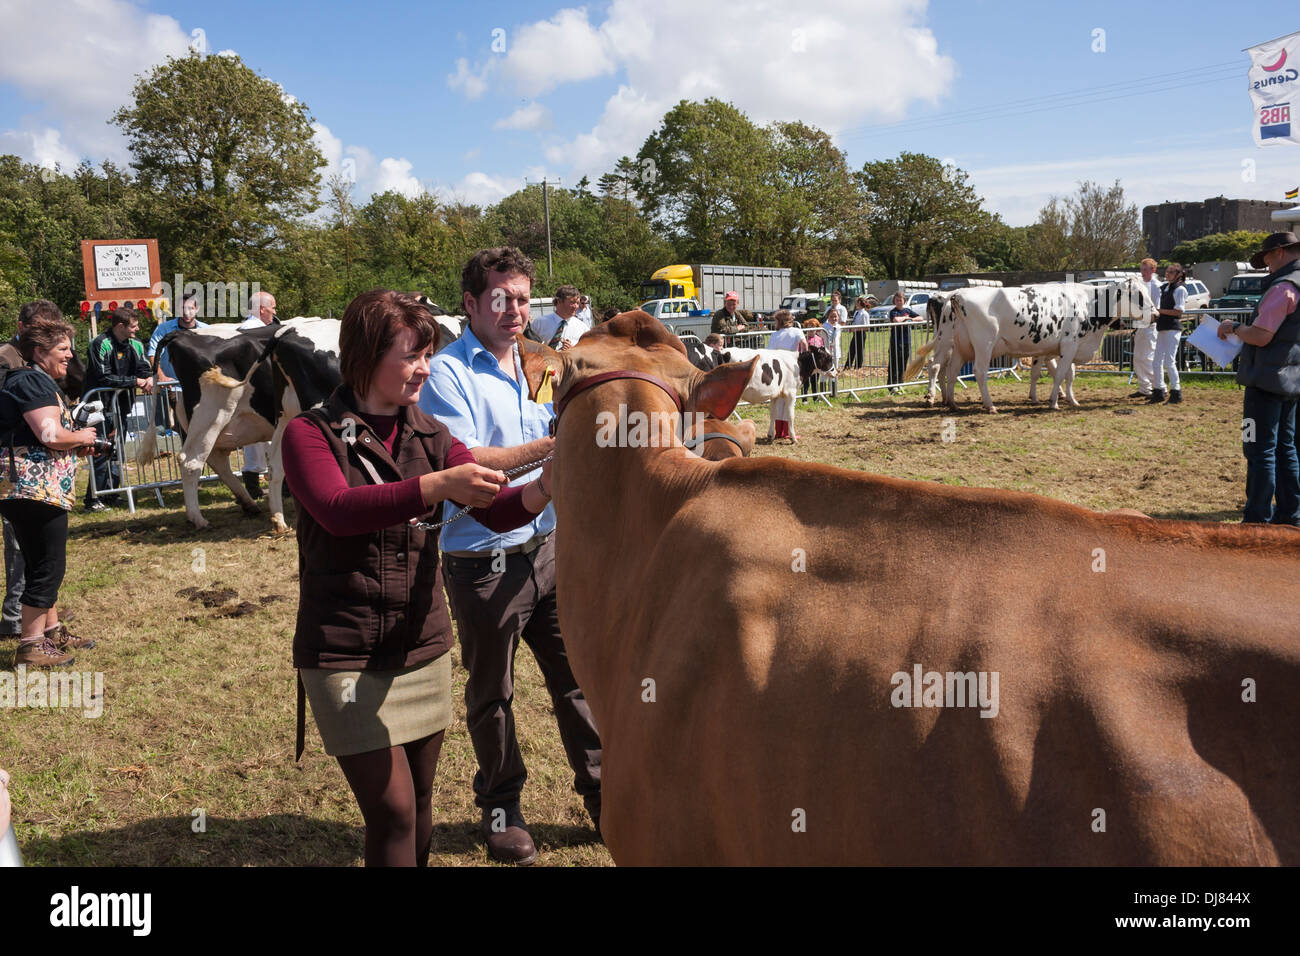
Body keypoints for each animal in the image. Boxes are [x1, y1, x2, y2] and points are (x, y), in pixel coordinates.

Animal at [907, 278, 1153, 413]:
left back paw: (951, 402)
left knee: (949, 370)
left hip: (958, 344)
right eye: (1139, 295)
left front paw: (1070, 399)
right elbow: (1061, 373)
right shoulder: (1069, 344)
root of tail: (956, 294)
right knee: (971, 370)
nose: (1156, 314)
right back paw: (987, 404)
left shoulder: (1055, 349)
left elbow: (1063, 374)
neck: (1087, 302)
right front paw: (1053, 401)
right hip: (982, 344)